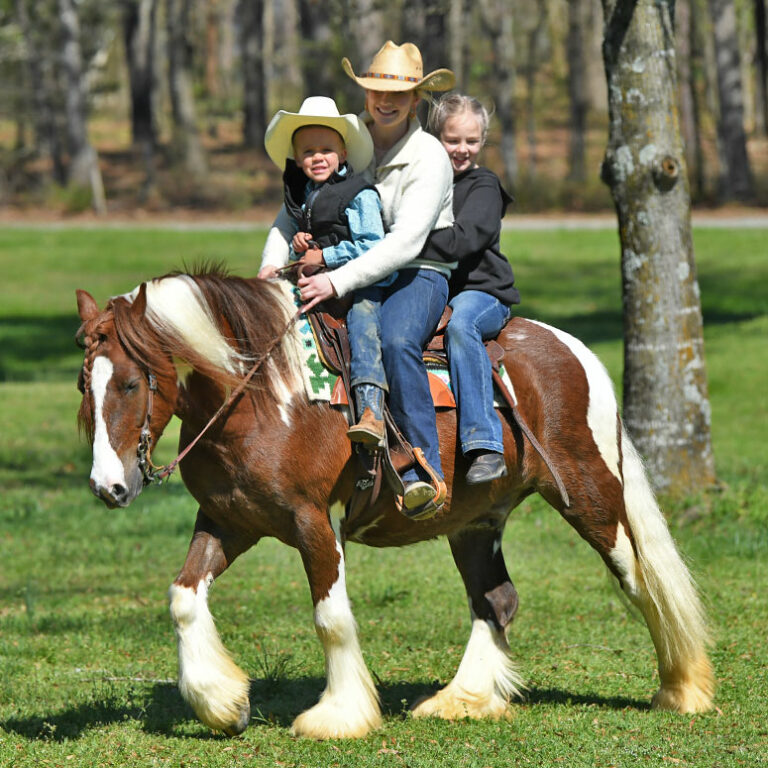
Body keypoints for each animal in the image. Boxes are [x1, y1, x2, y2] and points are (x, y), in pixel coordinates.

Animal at [75, 268, 714, 739]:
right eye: (85, 385)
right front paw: (223, 703)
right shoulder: (229, 520)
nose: (108, 487)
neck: (265, 395)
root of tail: (574, 350)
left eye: (129, 384)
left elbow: (330, 618)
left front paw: (339, 716)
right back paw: (462, 699)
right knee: (496, 601)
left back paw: (682, 688)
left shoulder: (314, 522)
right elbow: (183, 597)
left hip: (590, 497)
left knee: (642, 580)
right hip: (475, 521)